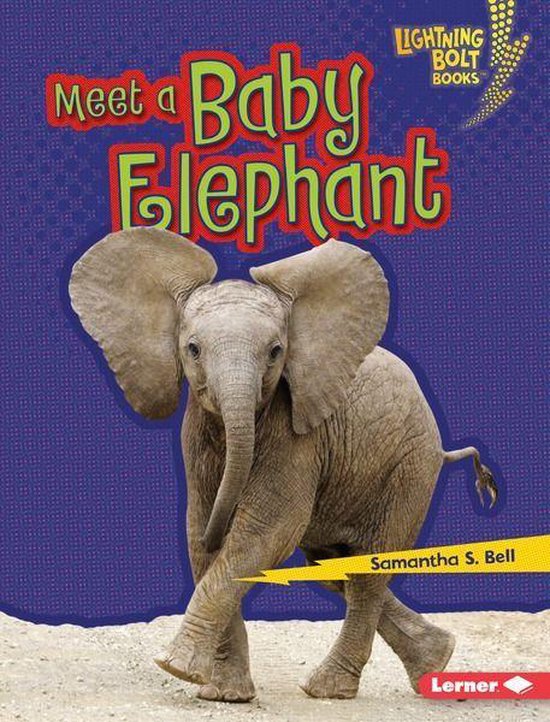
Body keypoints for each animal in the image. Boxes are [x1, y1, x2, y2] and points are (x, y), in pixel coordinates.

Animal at [69, 227, 498, 702]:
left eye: (276, 352)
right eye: (192, 349)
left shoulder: (299, 436)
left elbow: (266, 529)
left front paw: (177, 668)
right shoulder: (196, 435)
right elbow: (201, 533)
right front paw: (224, 694)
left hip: (409, 466)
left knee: (367, 570)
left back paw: (328, 688)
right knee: (334, 567)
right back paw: (436, 660)